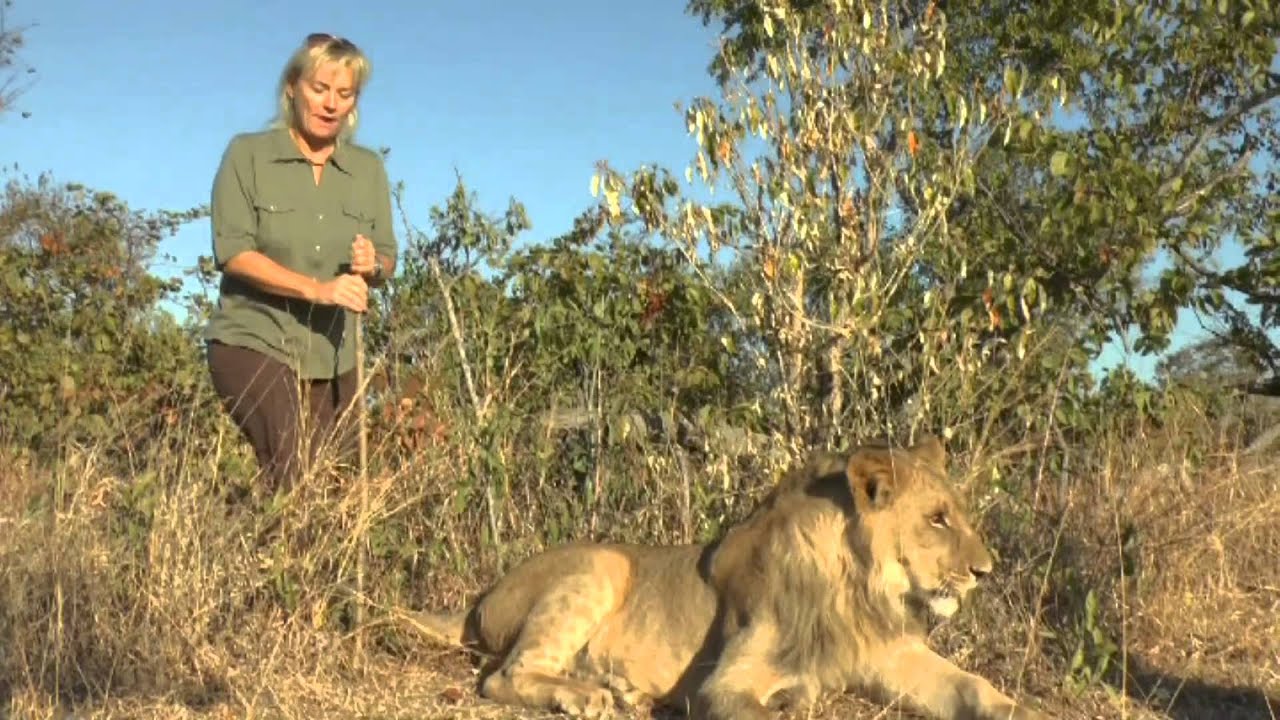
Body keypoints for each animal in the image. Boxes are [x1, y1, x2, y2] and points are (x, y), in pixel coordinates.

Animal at [399, 435, 1047, 720]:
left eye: (958, 513)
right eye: (937, 519)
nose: (986, 571)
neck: (856, 589)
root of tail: (479, 598)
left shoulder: (891, 656)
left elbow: (973, 688)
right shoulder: (723, 683)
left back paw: (618, 688)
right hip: (601, 564)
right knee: (502, 675)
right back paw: (585, 696)